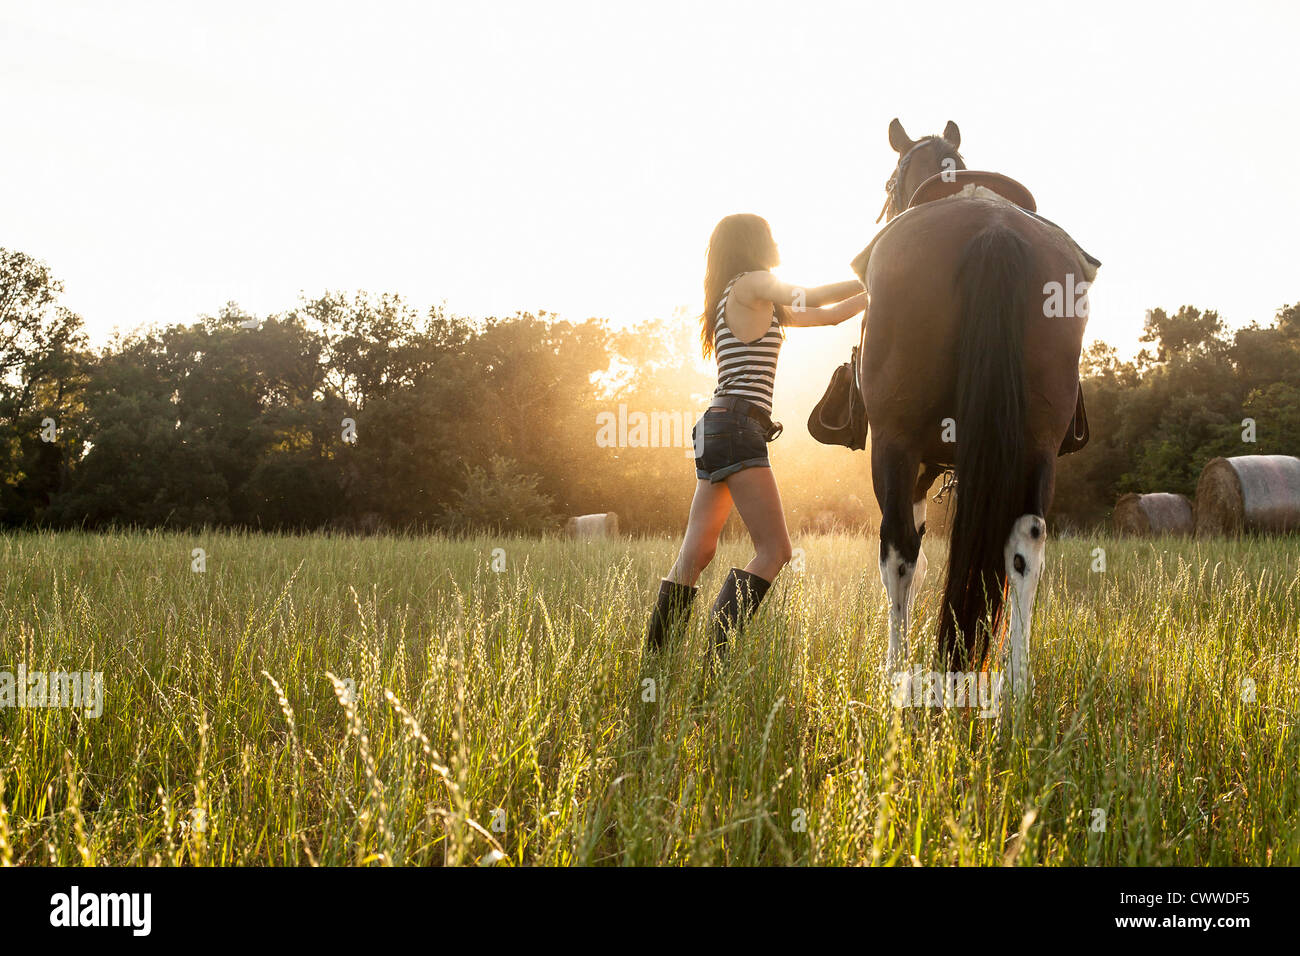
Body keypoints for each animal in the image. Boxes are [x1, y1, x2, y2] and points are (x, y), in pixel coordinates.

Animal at [852, 118, 1093, 699]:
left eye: (888, 185)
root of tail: (994, 230)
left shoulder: (912, 459)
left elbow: (910, 551)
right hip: (1038, 445)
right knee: (1026, 545)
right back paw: (1019, 686)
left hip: (894, 442)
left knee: (897, 549)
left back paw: (898, 674)